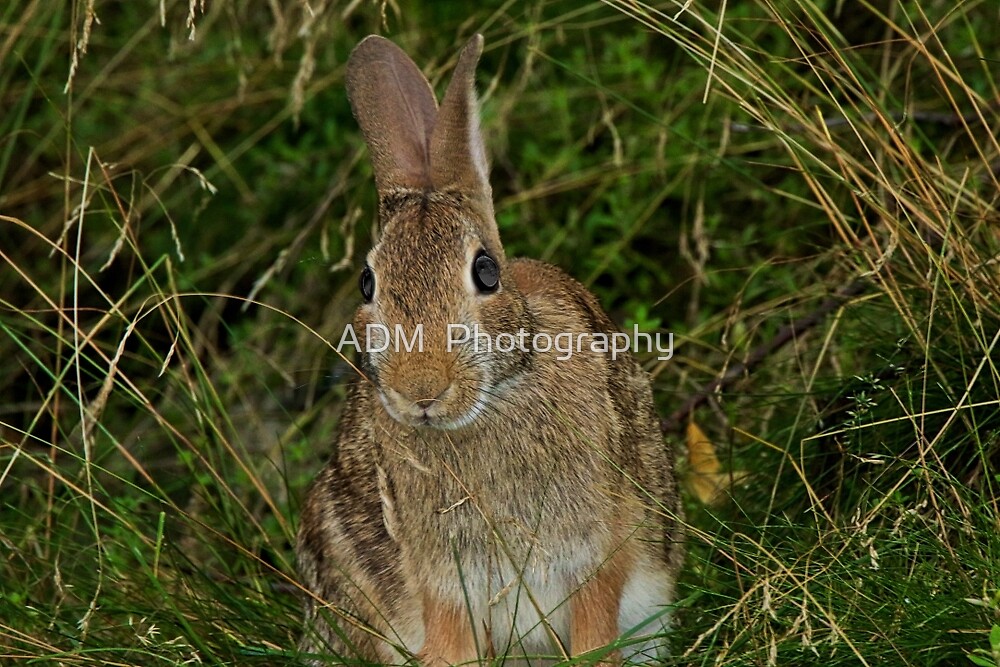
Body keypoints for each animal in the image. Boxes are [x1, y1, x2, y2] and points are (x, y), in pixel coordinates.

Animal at [296, 33, 683, 666]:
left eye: (486, 272)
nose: (421, 389)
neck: (499, 394)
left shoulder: (599, 550)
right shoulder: (443, 583)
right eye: (366, 283)